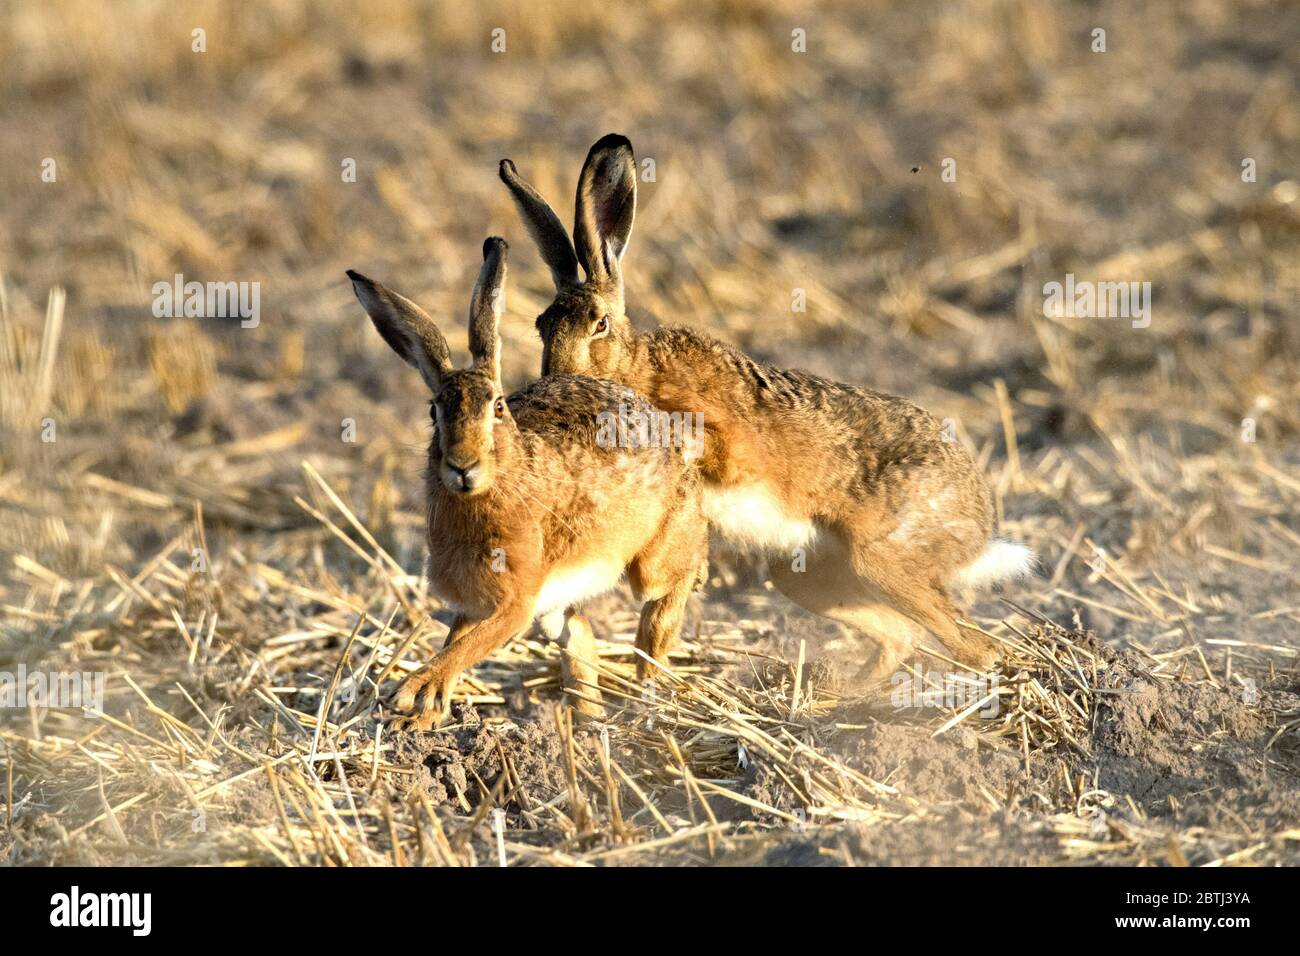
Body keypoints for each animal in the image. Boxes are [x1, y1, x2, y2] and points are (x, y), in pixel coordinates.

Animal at [347, 237, 707, 728]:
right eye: (433, 412)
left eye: (498, 407)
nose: (463, 466)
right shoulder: (474, 603)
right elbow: (456, 643)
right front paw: (421, 716)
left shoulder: (516, 602)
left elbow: (464, 649)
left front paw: (411, 691)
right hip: (553, 609)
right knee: (578, 633)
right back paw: (588, 720)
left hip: (650, 562)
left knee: (671, 581)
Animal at [499, 136, 1035, 684]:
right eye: (542, 325)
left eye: (600, 324)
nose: (558, 376)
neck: (633, 368)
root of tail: (980, 528)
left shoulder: (728, 446)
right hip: (807, 574)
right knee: (901, 636)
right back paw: (839, 697)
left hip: (883, 558)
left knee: (974, 646)